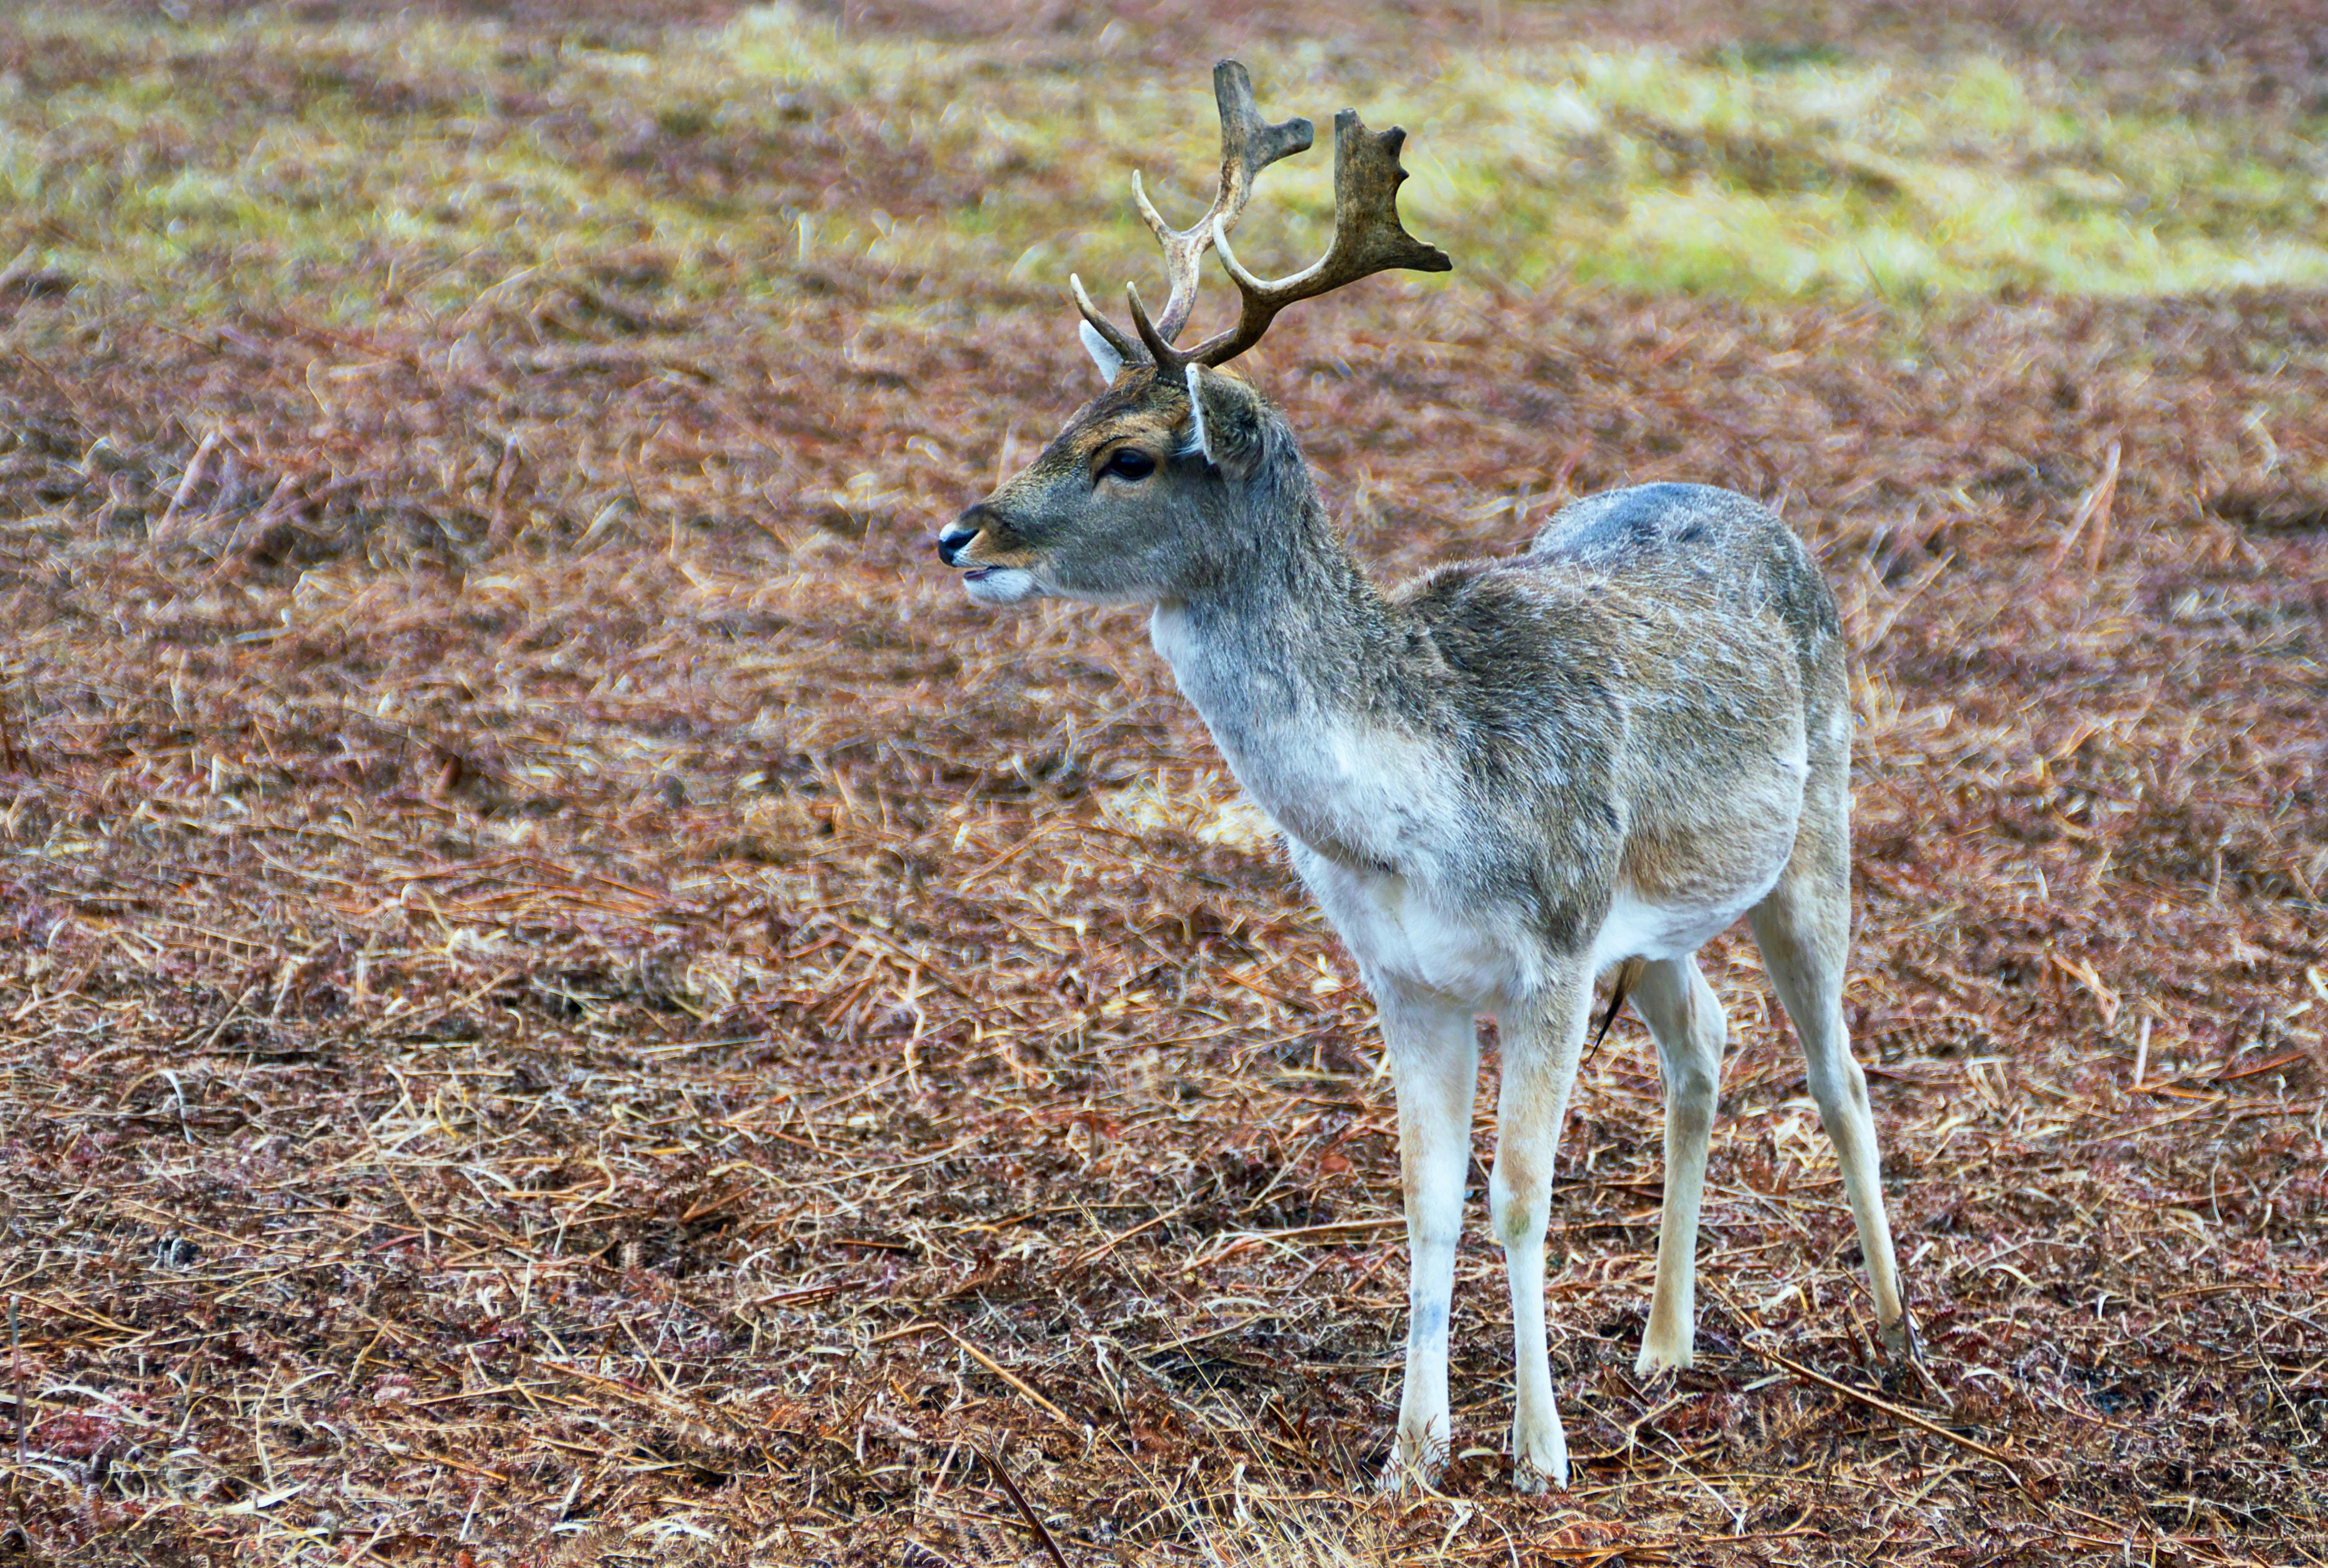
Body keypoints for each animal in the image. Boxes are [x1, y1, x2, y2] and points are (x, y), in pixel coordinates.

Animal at [935, 60, 1910, 1493]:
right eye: (1068, 419)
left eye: (1129, 455)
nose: (960, 534)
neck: (1421, 810)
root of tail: (1765, 511)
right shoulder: (1400, 973)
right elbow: (1426, 1199)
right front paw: (1413, 1452)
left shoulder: (1552, 946)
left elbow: (1519, 1194)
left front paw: (1537, 1453)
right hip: (1655, 921)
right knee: (1705, 1047)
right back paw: (1664, 1344)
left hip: (1814, 826)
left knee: (1839, 1070)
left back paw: (1896, 1335)